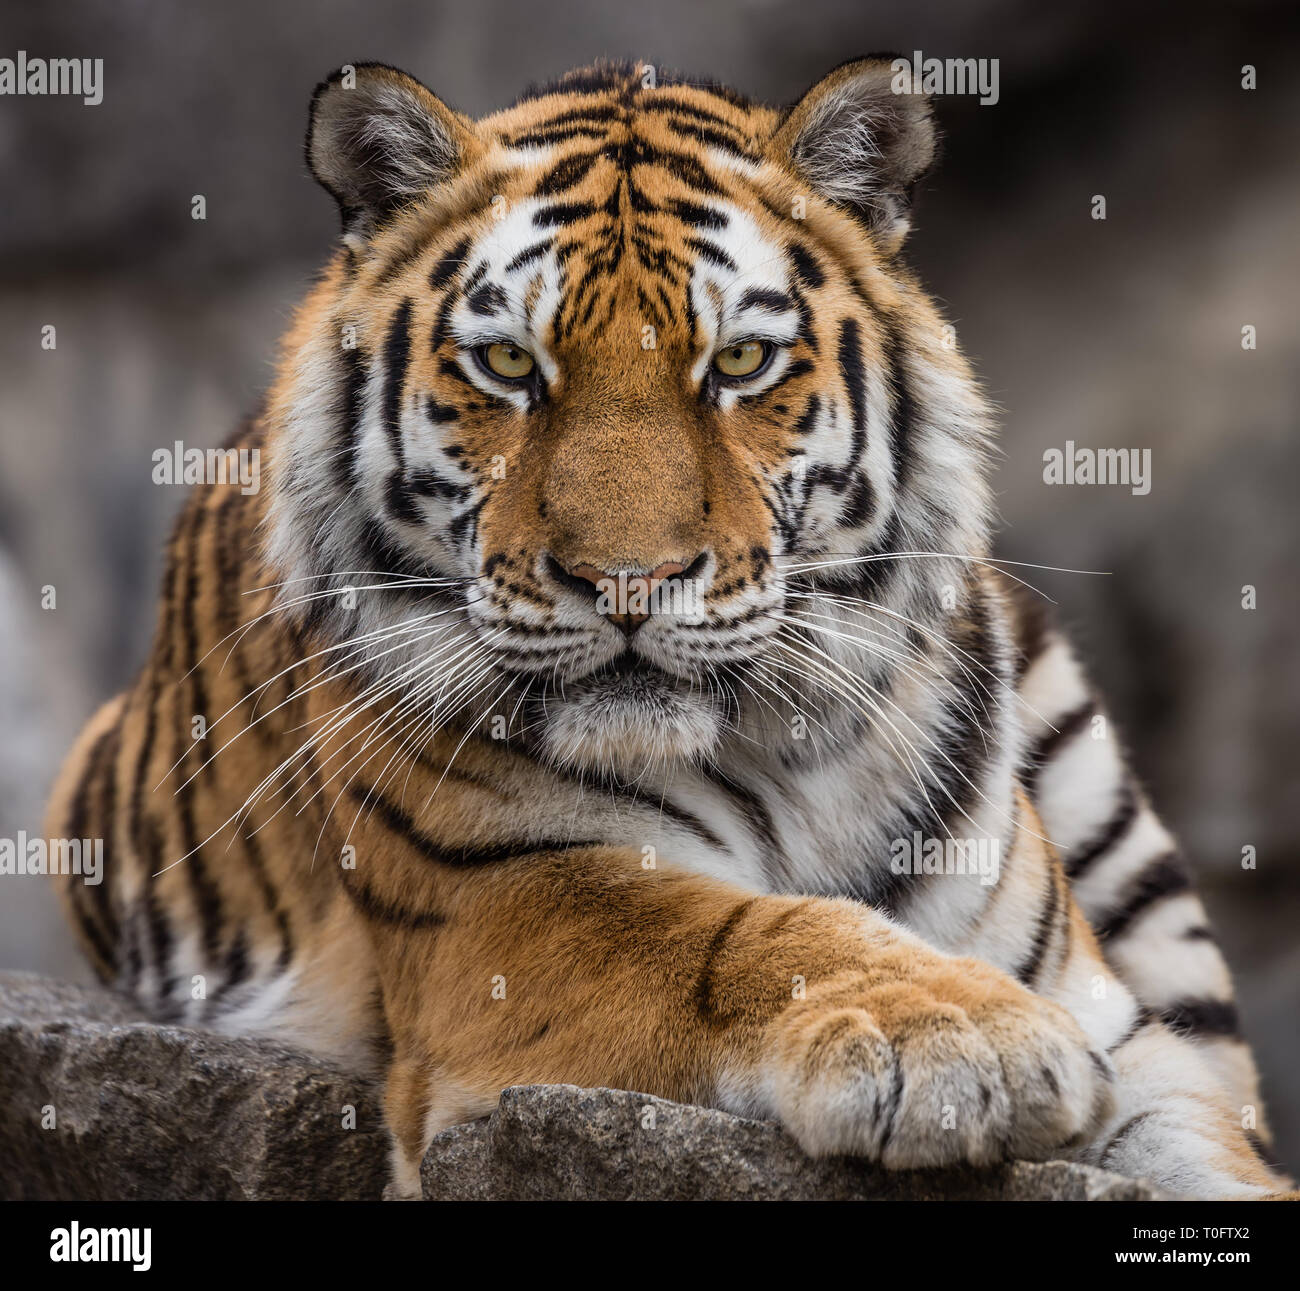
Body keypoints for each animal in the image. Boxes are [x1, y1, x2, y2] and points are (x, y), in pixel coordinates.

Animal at [45, 57, 1287, 1201]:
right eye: (509, 364)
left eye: (737, 362)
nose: (628, 582)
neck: (794, 757)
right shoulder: (501, 900)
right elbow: (737, 933)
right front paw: (961, 1036)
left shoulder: (1137, 1042)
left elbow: (1221, 1158)